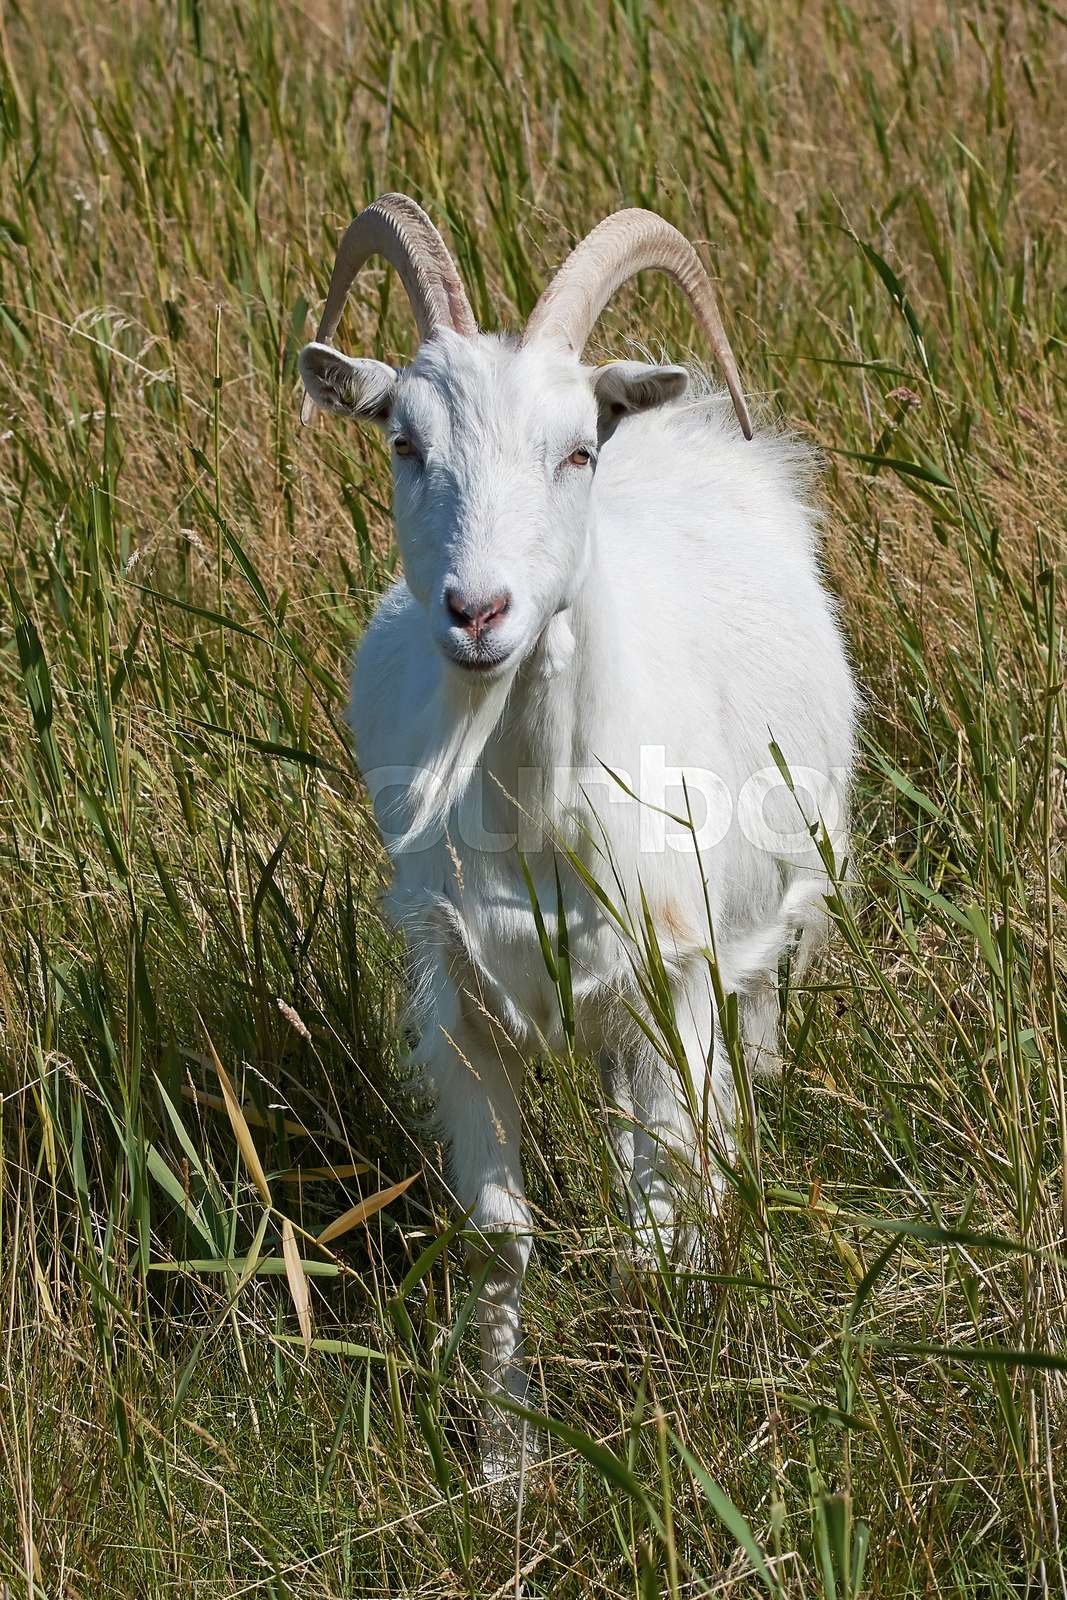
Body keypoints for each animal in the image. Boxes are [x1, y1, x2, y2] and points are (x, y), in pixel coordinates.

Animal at [300, 193, 858, 1477]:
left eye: (572, 450)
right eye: (404, 441)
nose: (477, 611)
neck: (538, 812)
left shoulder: (678, 974)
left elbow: (663, 1214)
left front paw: (669, 1416)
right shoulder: (458, 1000)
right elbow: (499, 1233)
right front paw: (506, 1464)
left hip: (754, 946)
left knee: (720, 1118)